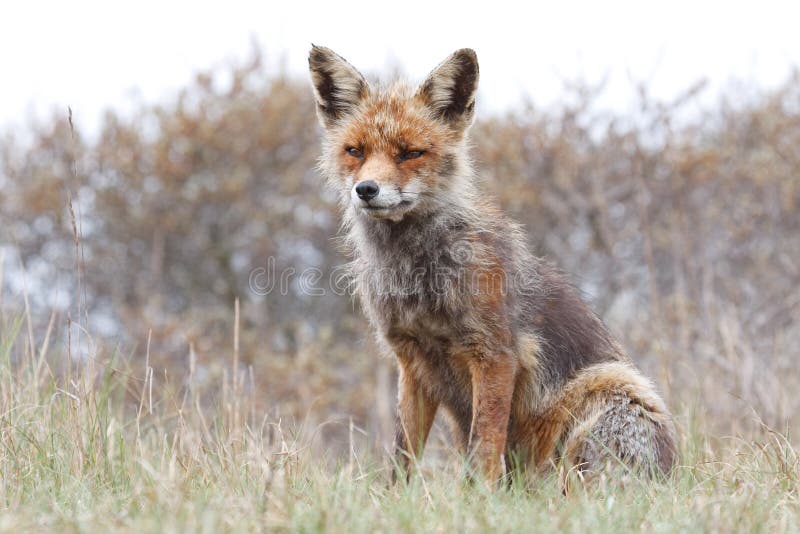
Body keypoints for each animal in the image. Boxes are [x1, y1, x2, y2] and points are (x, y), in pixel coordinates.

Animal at [308, 45, 677, 486]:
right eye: (356, 151)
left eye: (410, 153)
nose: (366, 190)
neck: (419, 276)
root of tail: (674, 471)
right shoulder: (412, 361)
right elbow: (403, 453)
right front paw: (395, 498)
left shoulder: (495, 353)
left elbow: (485, 443)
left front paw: (481, 497)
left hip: (608, 390)